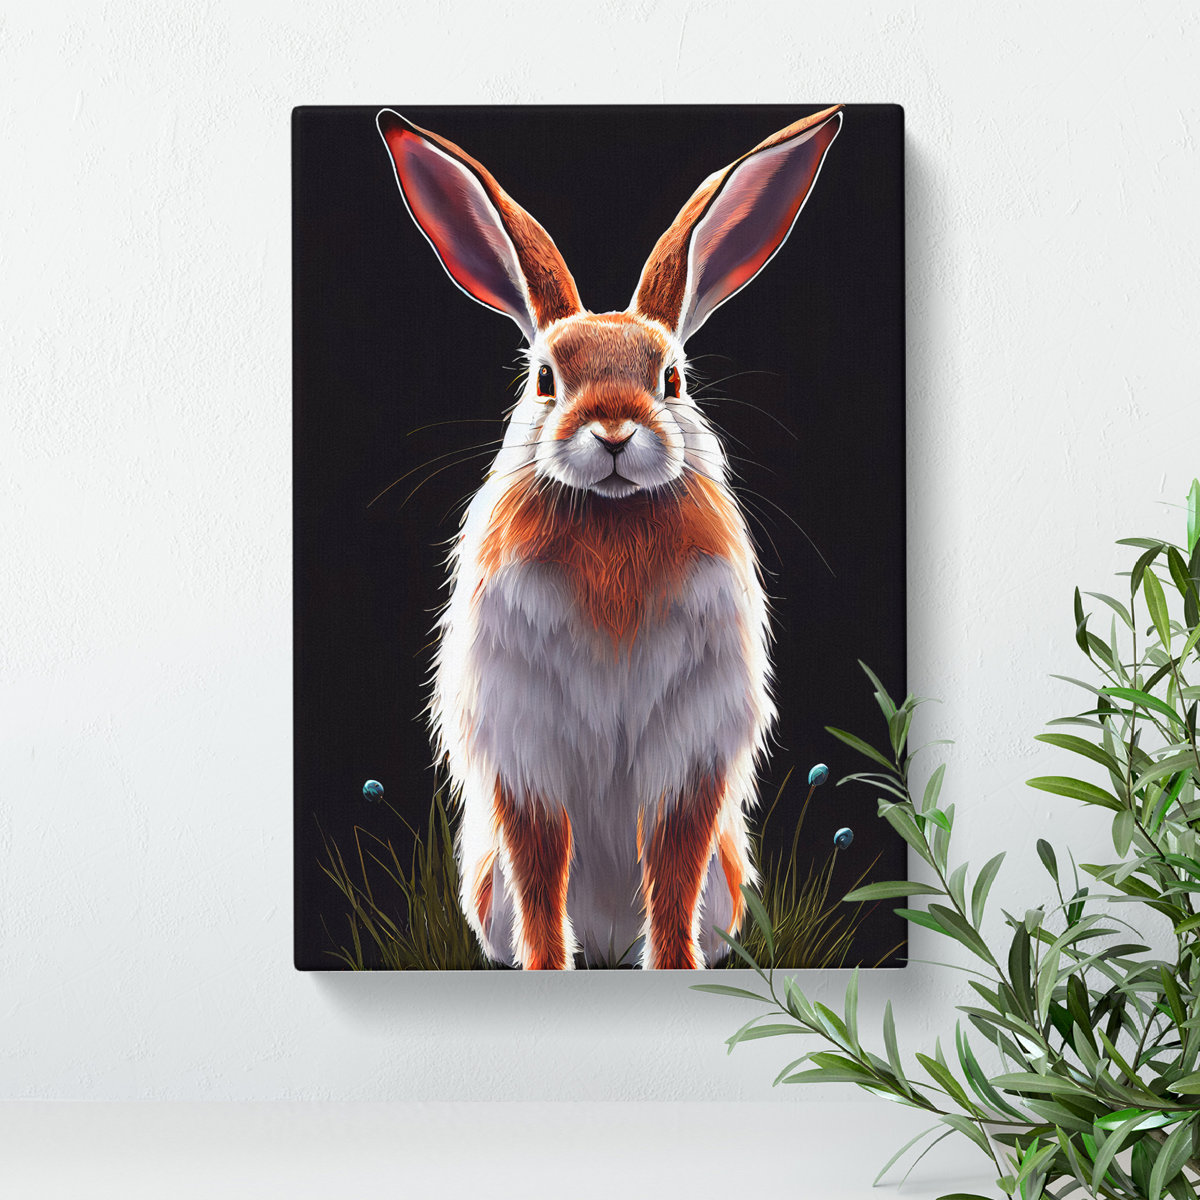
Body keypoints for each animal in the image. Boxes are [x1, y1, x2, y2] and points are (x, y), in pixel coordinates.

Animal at [376, 105, 843, 969]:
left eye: (673, 378)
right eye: (544, 379)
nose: (617, 432)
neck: (613, 519)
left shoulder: (689, 759)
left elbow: (671, 865)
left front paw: (674, 967)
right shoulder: (527, 758)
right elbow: (542, 864)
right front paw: (546, 967)